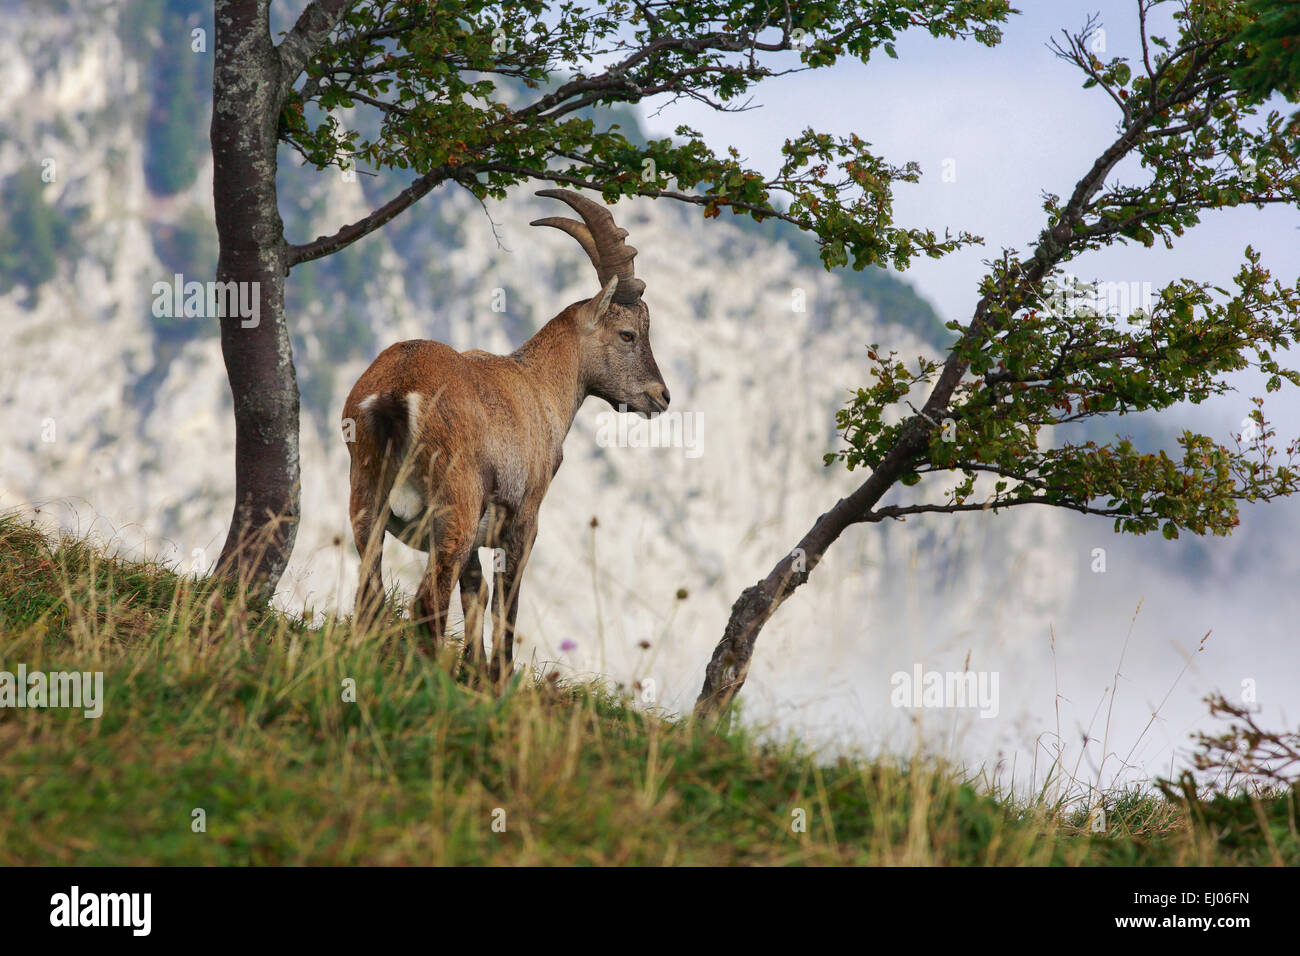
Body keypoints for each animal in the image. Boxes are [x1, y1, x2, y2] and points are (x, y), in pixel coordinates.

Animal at [342, 189, 670, 676]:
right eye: (628, 334)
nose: (661, 396)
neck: (540, 384)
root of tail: (398, 392)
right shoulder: (524, 520)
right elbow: (505, 604)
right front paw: (498, 678)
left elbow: (475, 594)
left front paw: (474, 674)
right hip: (454, 509)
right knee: (426, 603)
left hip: (368, 495)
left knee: (371, 592)